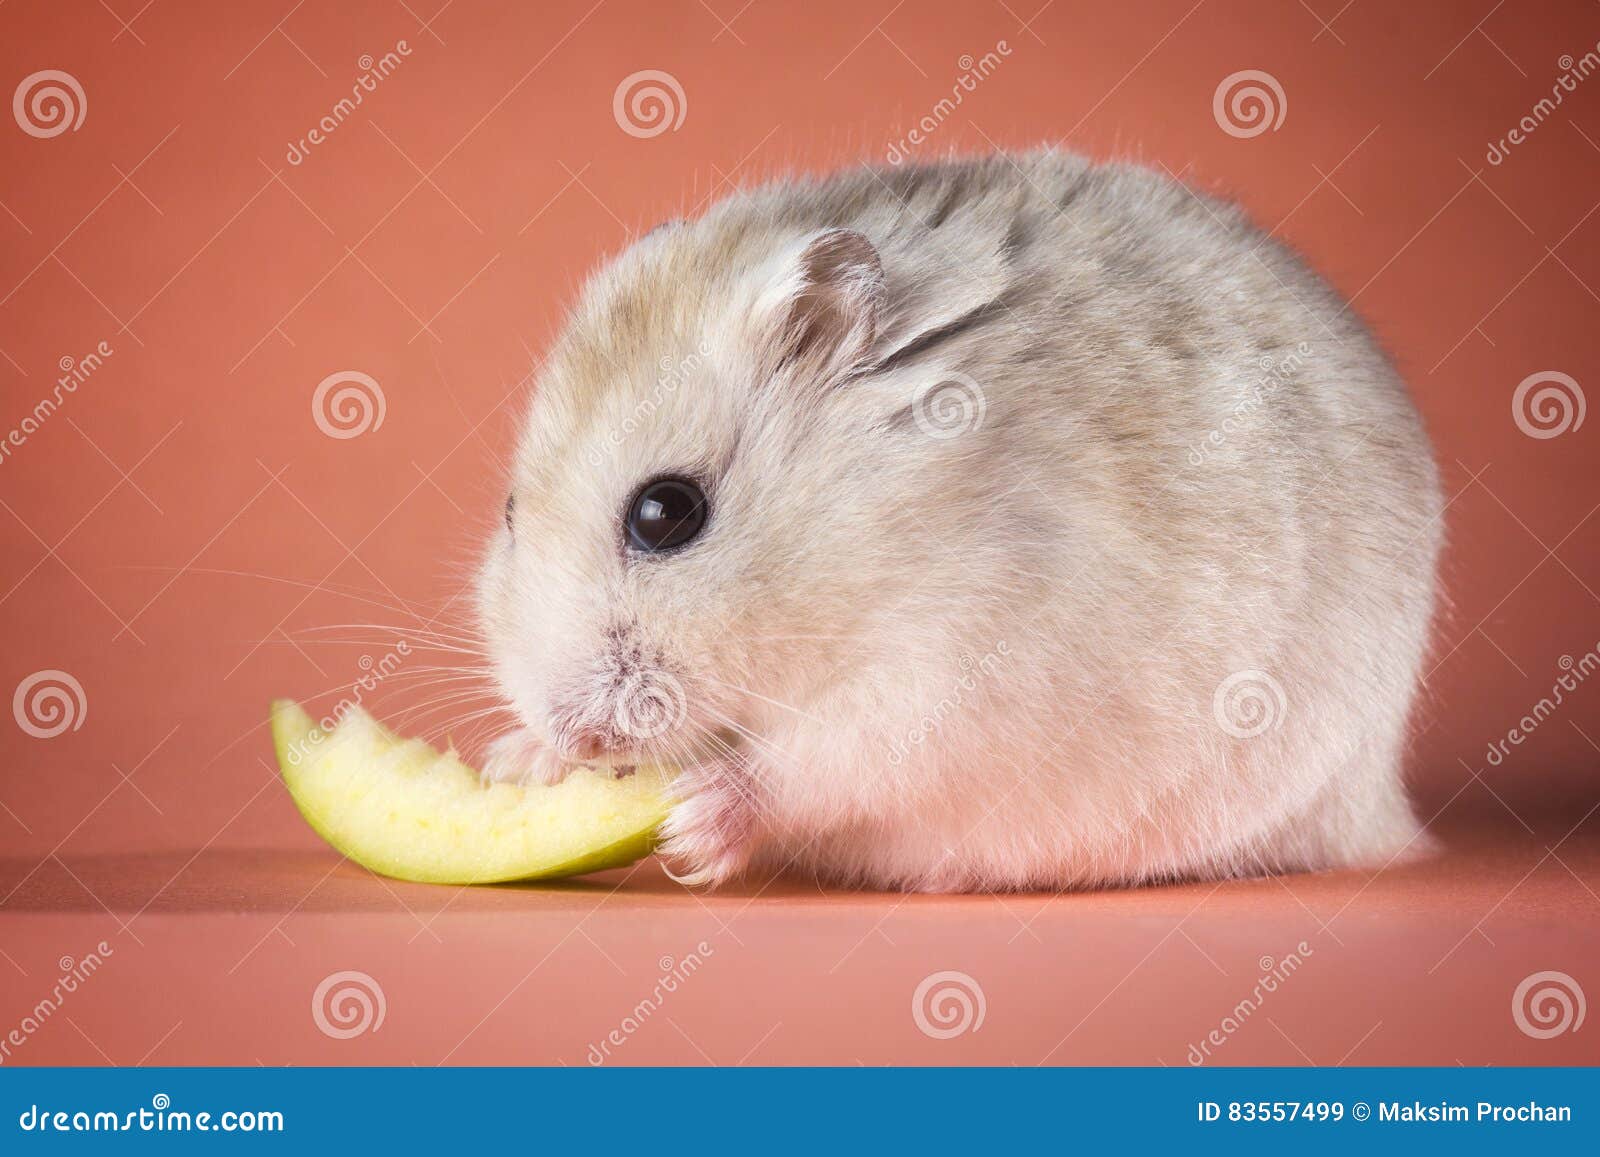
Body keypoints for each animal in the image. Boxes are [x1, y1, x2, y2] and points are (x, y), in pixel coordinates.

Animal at [477, 149, 1444, 892]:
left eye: (665, 513)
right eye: (512, 512)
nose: (576, 733)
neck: (862, 546)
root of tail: (1386, 805)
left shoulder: (959, 671)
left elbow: (824, 762)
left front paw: (691, 826)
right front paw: (517, 761)